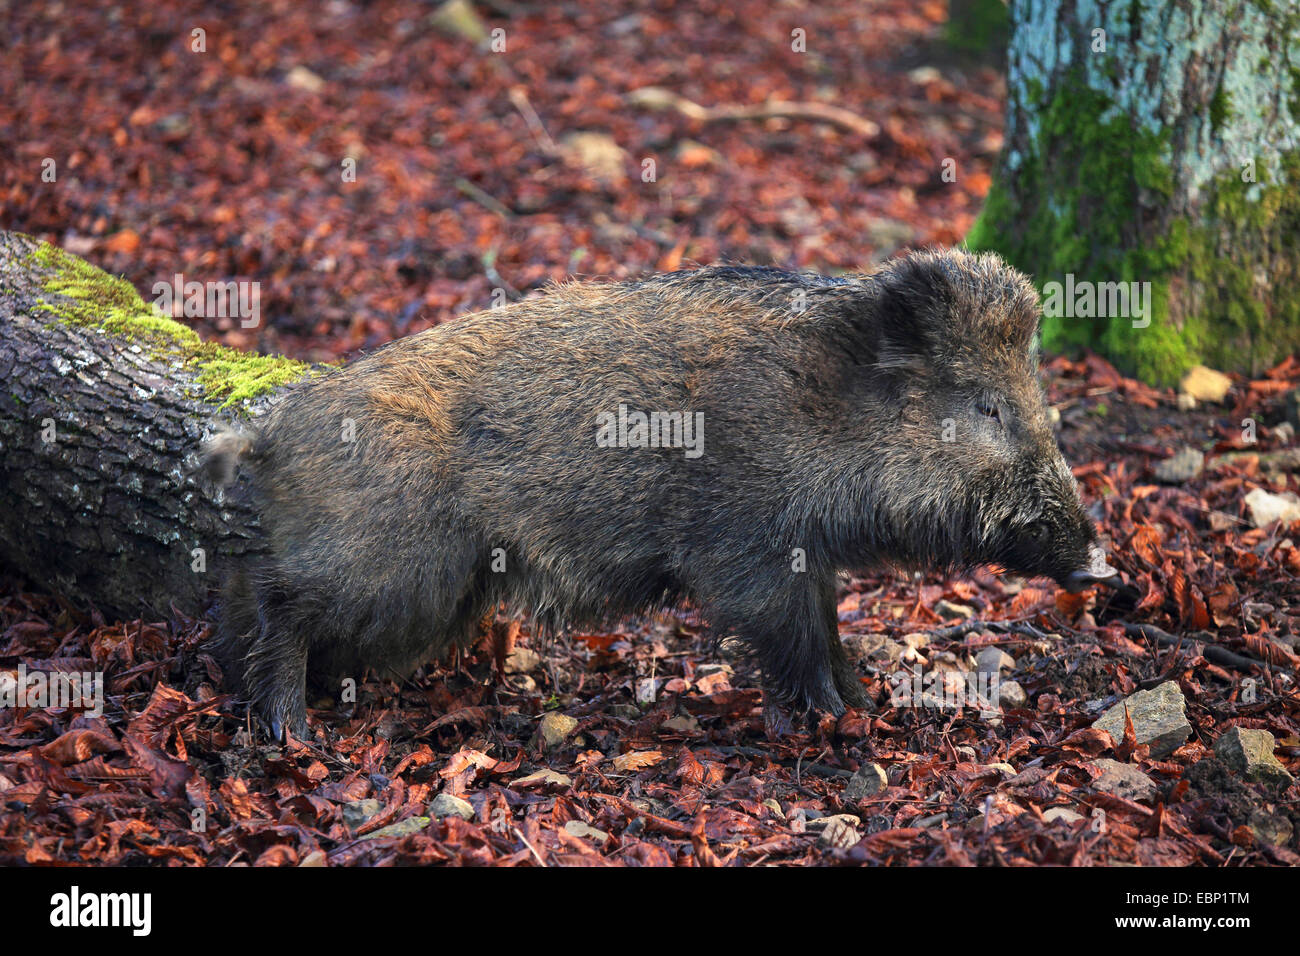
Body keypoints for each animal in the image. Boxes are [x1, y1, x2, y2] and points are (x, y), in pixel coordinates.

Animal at [203, 248, 1115, 739]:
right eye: (987, 406)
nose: (1098, 567)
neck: (825, 410)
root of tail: (271, 431)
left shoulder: (806, 553)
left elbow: (829, 627)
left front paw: (864, 705)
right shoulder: (745, 547)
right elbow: (791, 636)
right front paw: (830, 720)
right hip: (394, 566)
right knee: (278, 600)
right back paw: (288, 730)